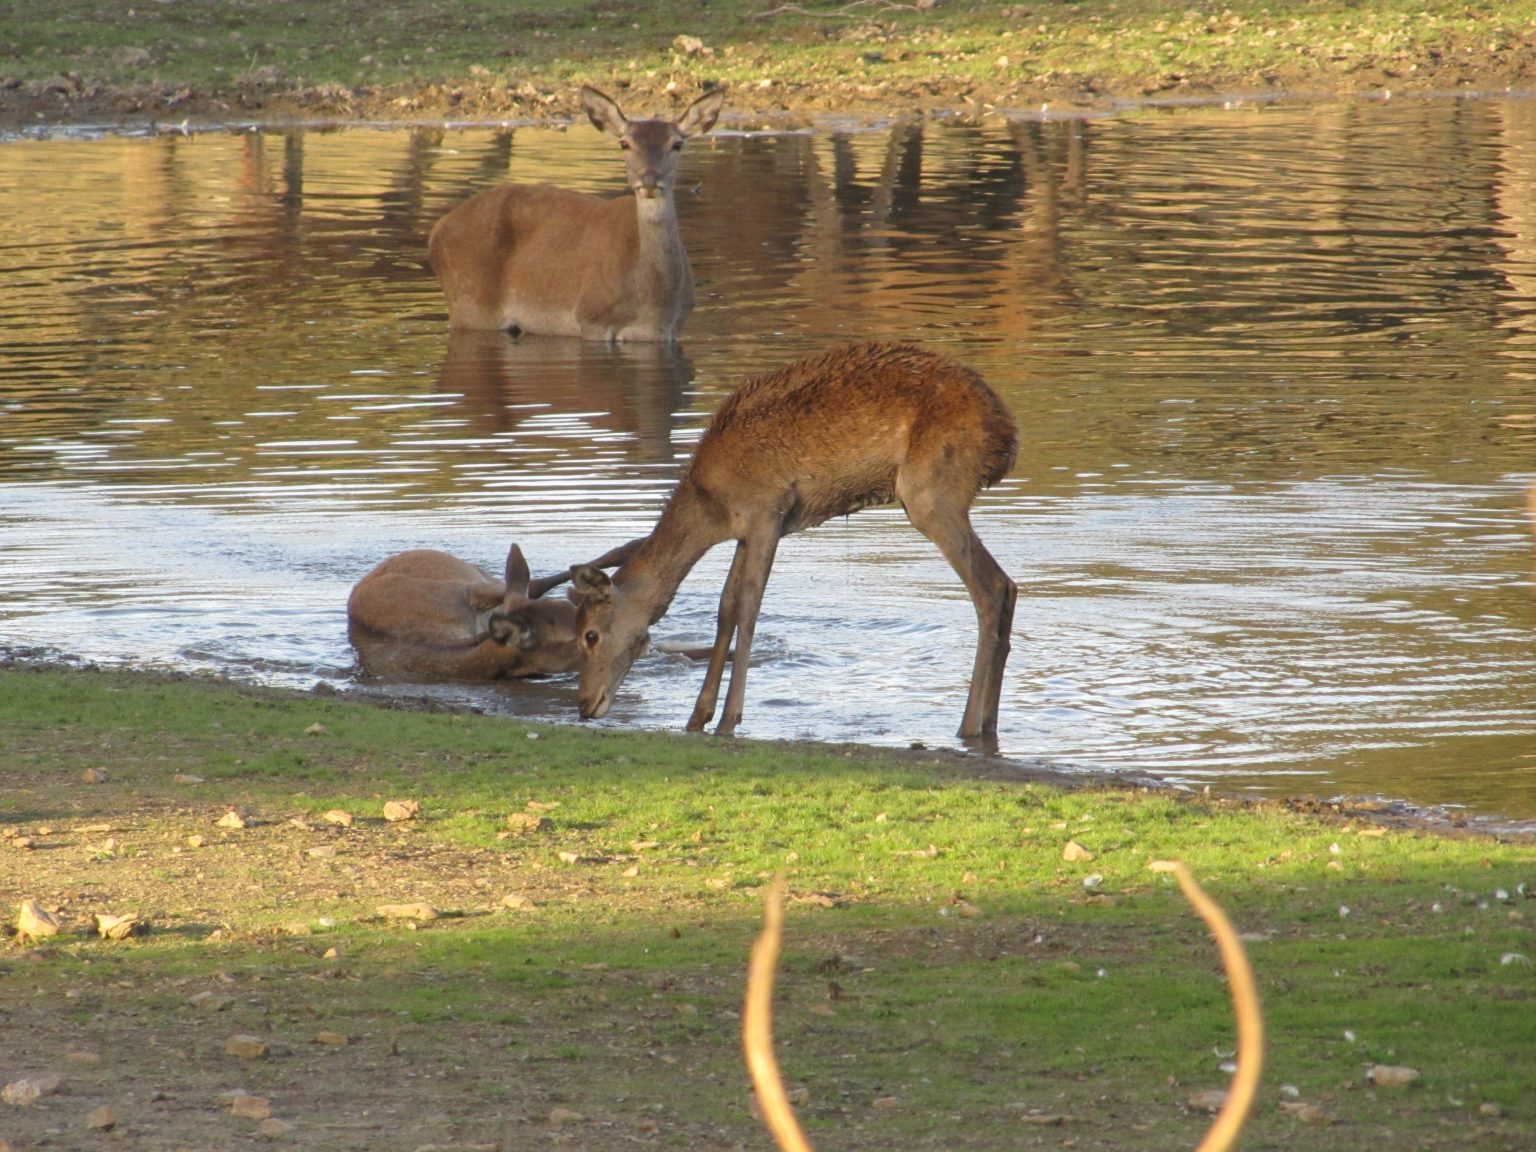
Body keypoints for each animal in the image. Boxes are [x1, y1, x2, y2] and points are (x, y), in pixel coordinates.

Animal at [426, 85, 725, 340]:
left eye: (677, 144)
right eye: (624, 143)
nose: (649, 179)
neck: (653, 302)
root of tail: (436, 230)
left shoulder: (669, 330)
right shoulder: (591, 317)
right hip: (469, 305)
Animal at [569, 341, 1019, 741]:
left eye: (590, 635)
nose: (584, 705)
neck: (711, 507)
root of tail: (1008, 434)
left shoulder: (767, 511)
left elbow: (749, 608)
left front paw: (729, 719)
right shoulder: (745, 531)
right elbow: (726, 608)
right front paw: (697, 717)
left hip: (929, 493)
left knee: (990, 587)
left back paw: (966, 726)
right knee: (1009, 586)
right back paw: (989, 724)